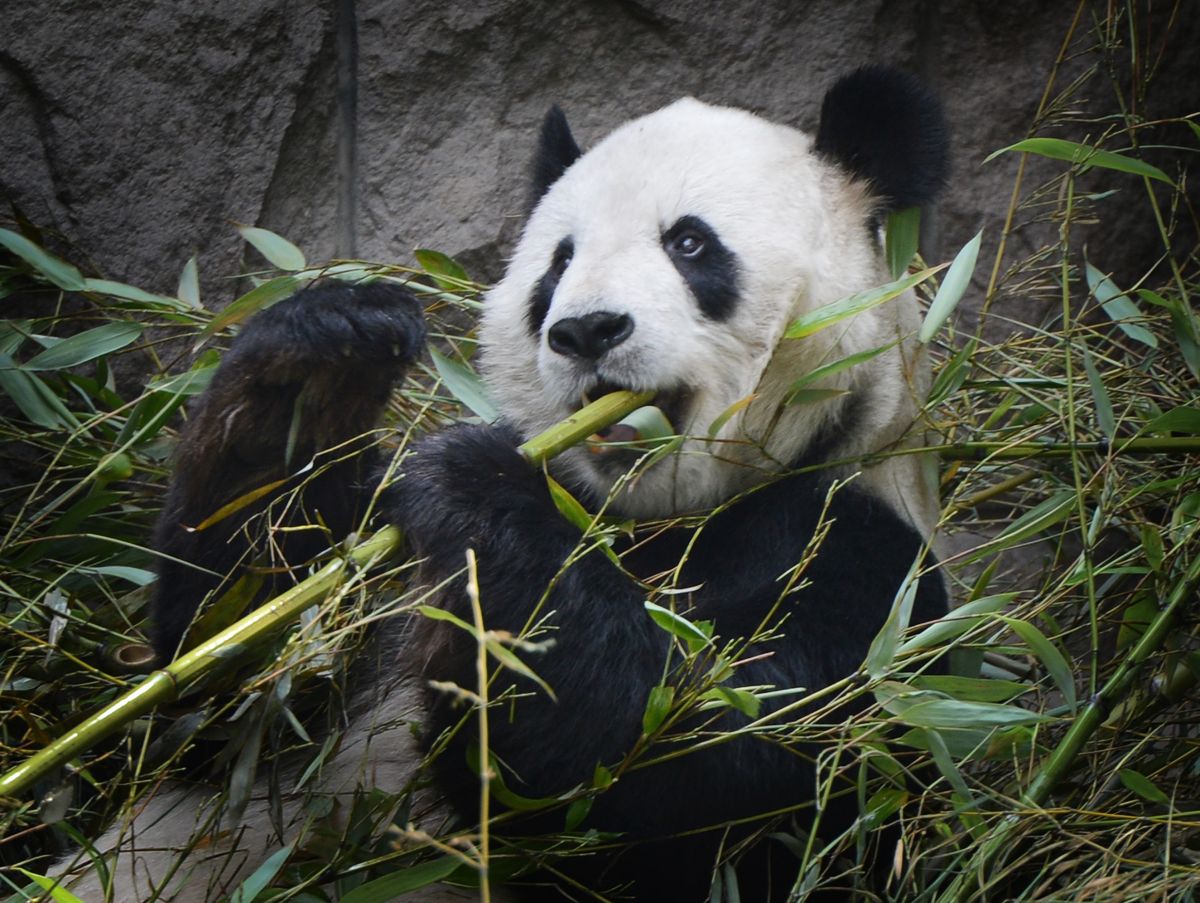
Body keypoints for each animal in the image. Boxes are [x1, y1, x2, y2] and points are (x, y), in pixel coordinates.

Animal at [57, 66, 949, 903]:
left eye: (691, 245)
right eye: (559, 262)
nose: (587, 330)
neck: (648, 518)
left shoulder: (864, 571)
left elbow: (686, 762)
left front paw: (477, 482)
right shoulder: (380, 575)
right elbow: (230, 686)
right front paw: (324, 355)